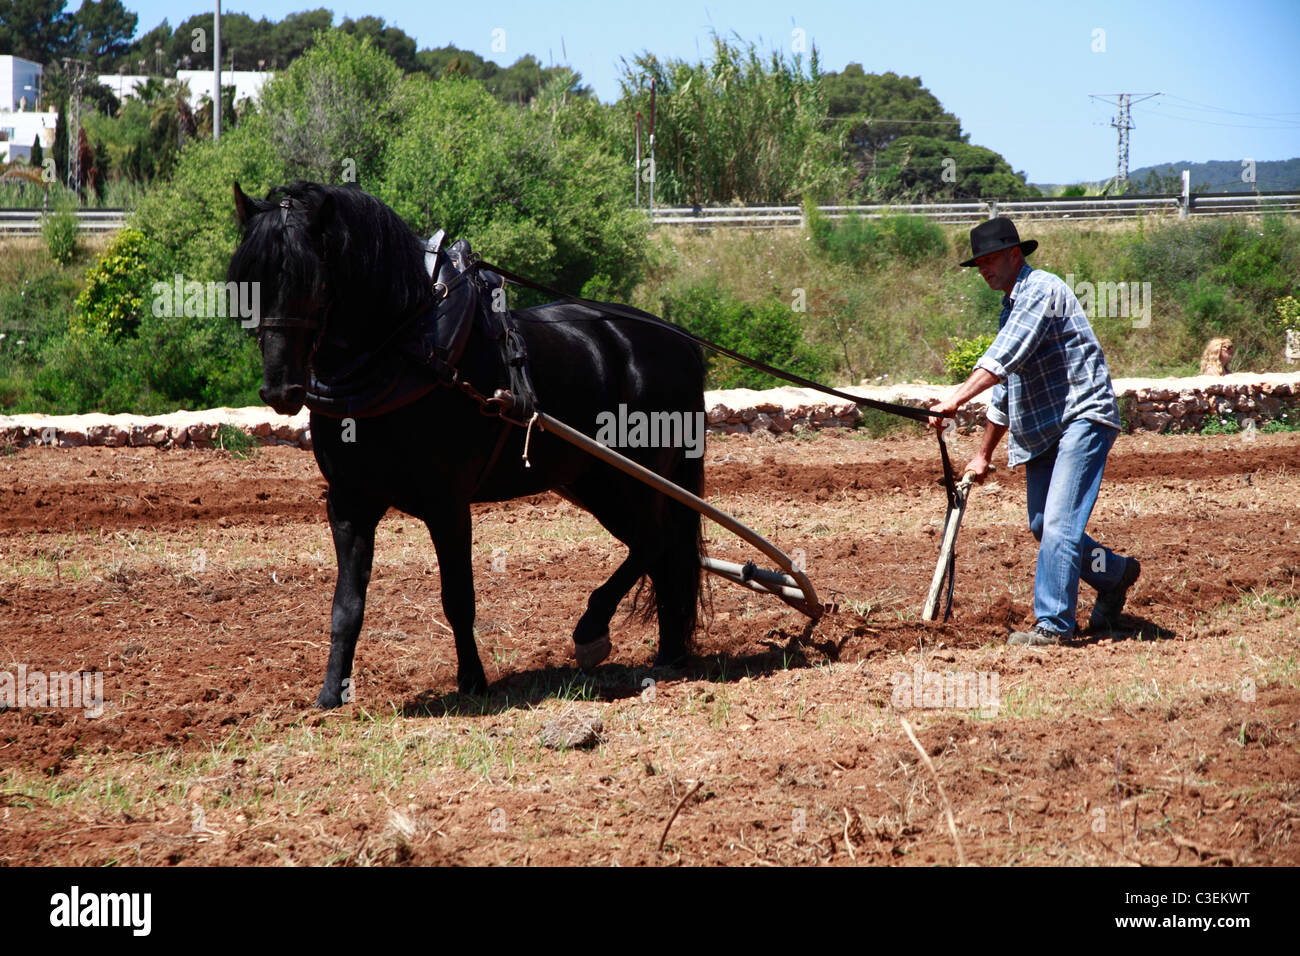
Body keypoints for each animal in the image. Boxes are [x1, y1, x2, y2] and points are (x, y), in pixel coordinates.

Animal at [227, 181, 705, 708]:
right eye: (247, 281)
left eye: (312, 281)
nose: (280, 390)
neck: (413, 356)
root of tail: (680, 340)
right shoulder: (348, 503)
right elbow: (346, 604)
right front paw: (331, 693)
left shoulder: (447, 503)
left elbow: (457, 596)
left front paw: (473, 681)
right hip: (597, 484)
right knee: (662, 555)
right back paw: (668, 655)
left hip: (631, 481)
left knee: (656, 543)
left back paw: (594, 631)